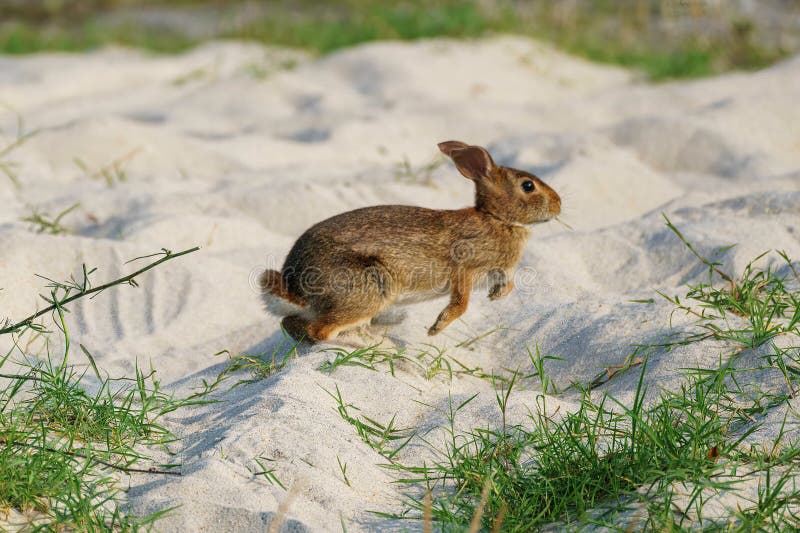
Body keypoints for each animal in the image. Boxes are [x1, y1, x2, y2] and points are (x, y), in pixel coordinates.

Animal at [259, 140, 561, 343]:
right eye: (528, 186)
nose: (558, 204)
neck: (497, 218)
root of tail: (295, 289)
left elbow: (508, 285)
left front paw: (496, 296)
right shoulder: (465, 266)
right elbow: (461, 304)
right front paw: (437, 328)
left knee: (291, 323)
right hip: (370, 288)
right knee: (319, 330)